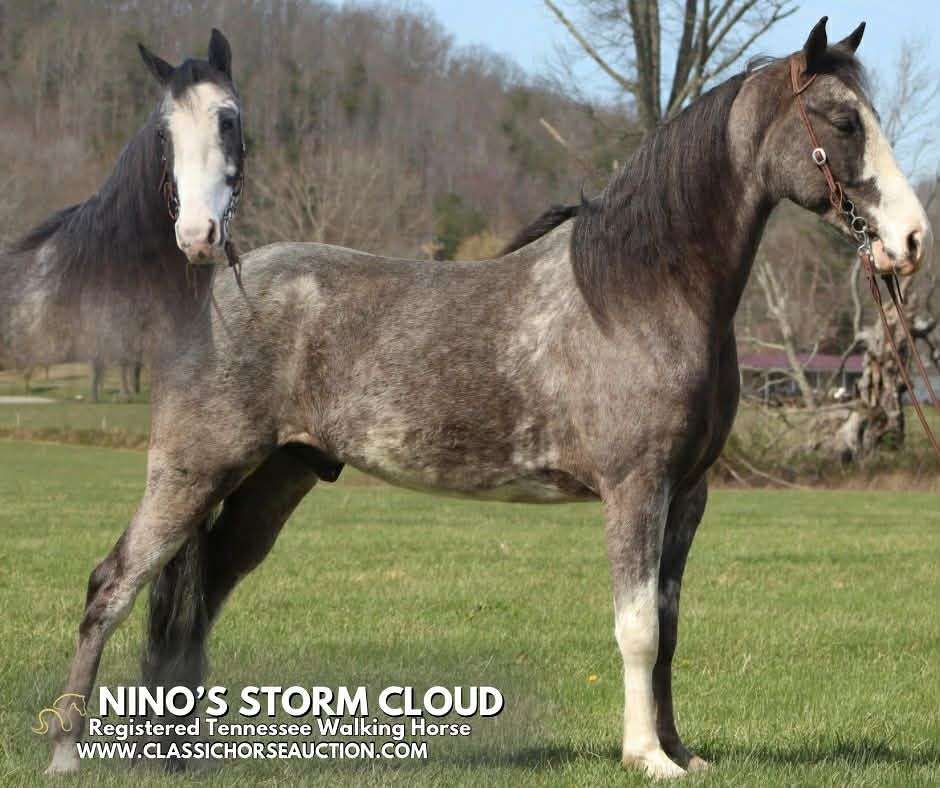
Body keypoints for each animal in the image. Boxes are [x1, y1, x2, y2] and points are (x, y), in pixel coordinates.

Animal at [44, 19, 930, 778]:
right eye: (842, 121)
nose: (913, 239)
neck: (642, 291)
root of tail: (209, 291)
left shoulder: (688, 495)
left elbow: (670, 624)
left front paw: (680, 750)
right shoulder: (635, 489)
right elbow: (638, 628)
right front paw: (646, 757)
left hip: (272, 483)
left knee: (195, 601)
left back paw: (182, 754)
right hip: (191, 475)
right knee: (112, 586)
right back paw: (65, 753)